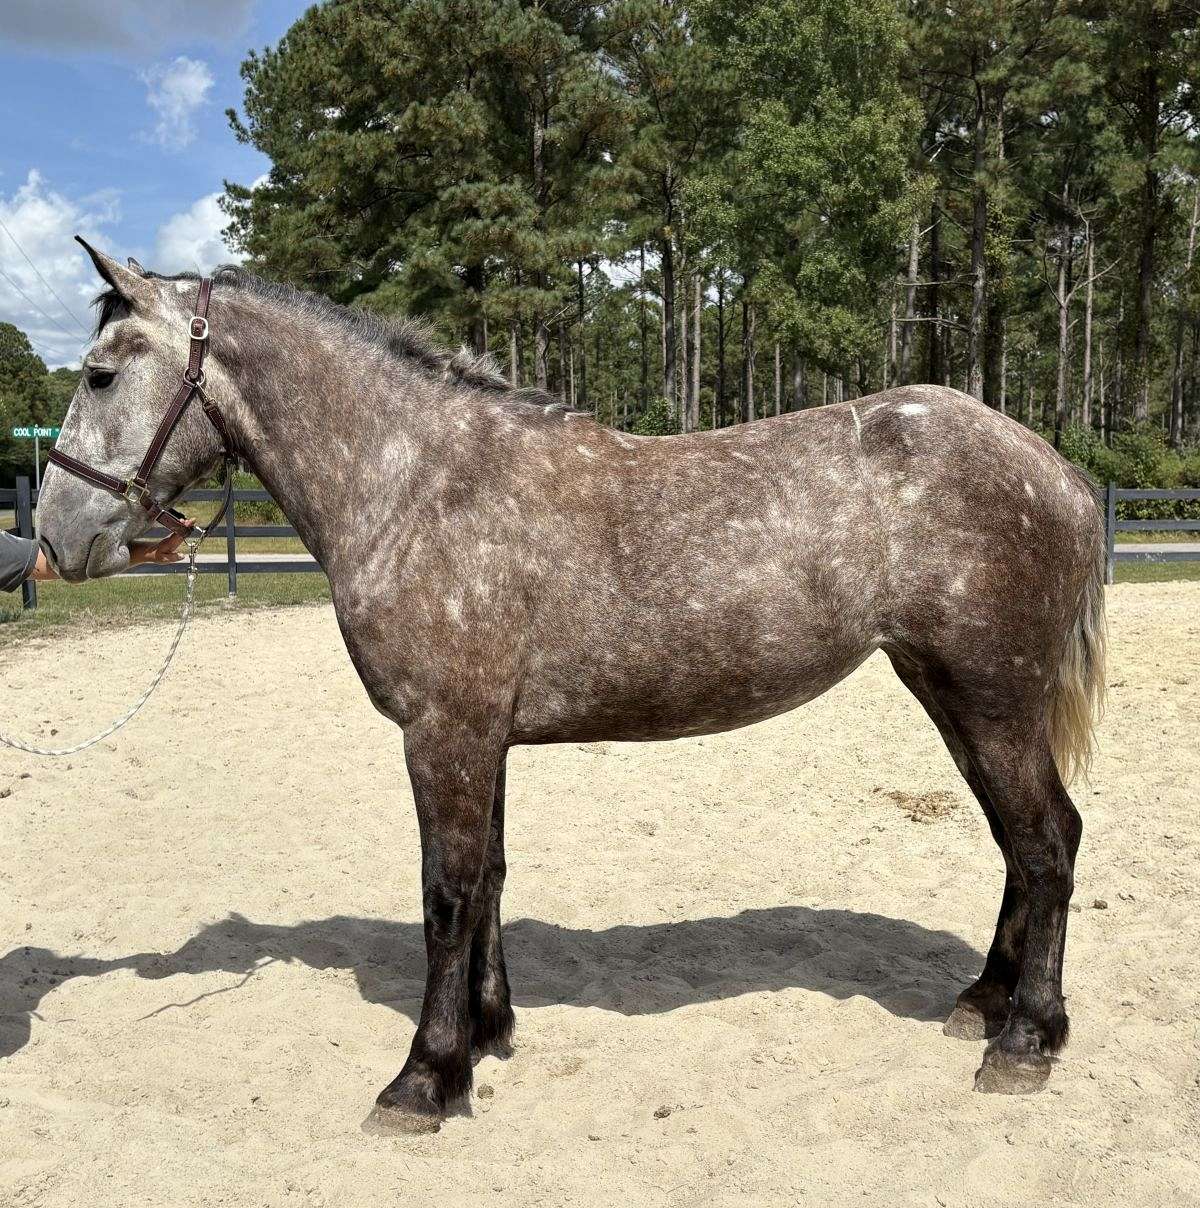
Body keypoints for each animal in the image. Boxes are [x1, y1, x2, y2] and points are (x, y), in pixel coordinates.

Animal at [34, 242, 1106, 1130]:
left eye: (100, 373)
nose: (53, 536)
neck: (416, 485)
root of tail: (1055, 469)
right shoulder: (482, 735)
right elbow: (490, 880)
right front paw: (486, 1034)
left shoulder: (443, 734)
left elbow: (446, 892)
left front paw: (425, 1078)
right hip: (952, 692)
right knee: (1020, 843)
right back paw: (984, 1003)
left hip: (990, 696)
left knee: (1048, 840)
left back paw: (1026, 1040)